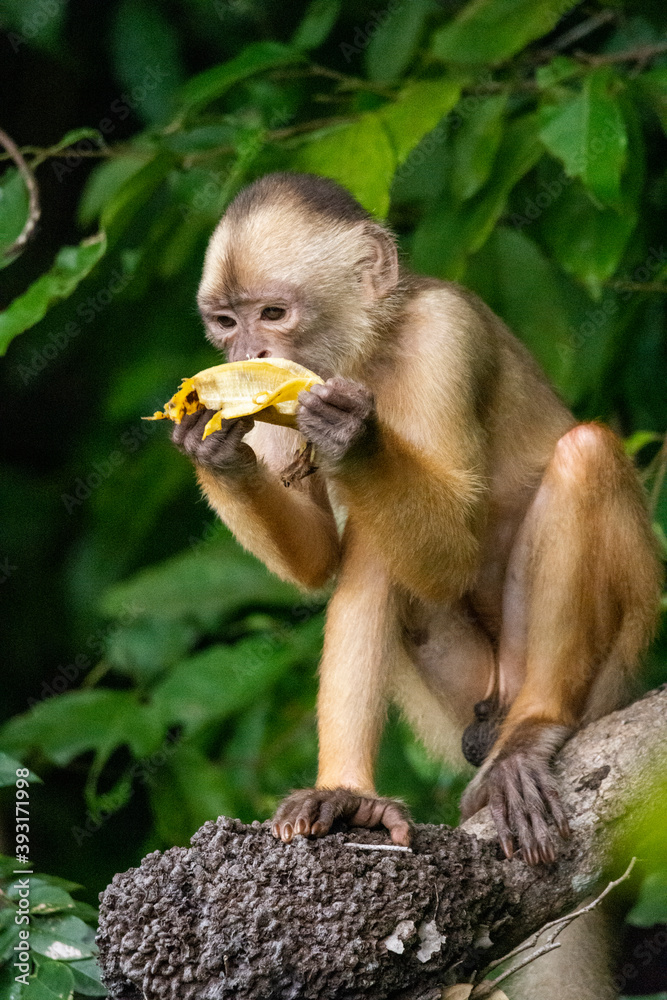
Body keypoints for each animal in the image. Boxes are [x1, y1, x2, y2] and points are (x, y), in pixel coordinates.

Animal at [171, 171, 661, 995]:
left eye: (274, 314)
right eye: (226, 322)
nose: (247, 349)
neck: (371, 348)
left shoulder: (443, 333)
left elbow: (453, 542)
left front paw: (352, 437)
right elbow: (322, 563)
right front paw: (212, 446)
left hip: (611, 668)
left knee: (584, 454)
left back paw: (534, 731)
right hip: (459, 706)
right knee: (373, 556)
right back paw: (351, 798)